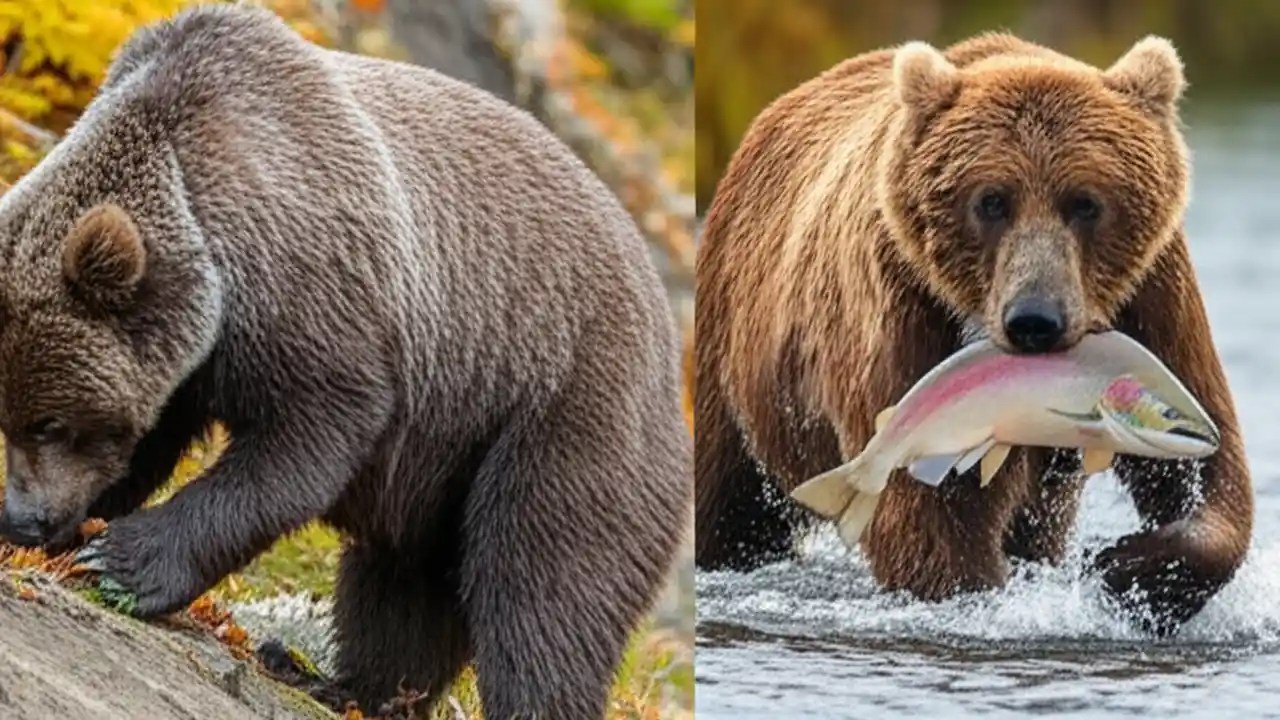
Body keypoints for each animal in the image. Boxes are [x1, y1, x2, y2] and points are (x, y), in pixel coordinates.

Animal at [0, 5, 691, 718]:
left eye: (52, 422)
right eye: (11, 416)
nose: (24, 518)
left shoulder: (311, 288)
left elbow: (305, 439)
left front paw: (121, 560)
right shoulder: (186, 363)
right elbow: (151, 443)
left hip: (560, 407)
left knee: (541, 581)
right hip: (446, 467)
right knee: (402, 582)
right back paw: (337, 681)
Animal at [694, 32, 1251, 635]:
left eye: (1085, 202)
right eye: (991, 200)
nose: (1035, 320)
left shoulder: (1154, 296)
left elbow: (1212, 468)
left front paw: (1127, 569)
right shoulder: (907, 314)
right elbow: (928, 516)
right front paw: (980, 591)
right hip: (739, 361)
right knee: (727, 502)